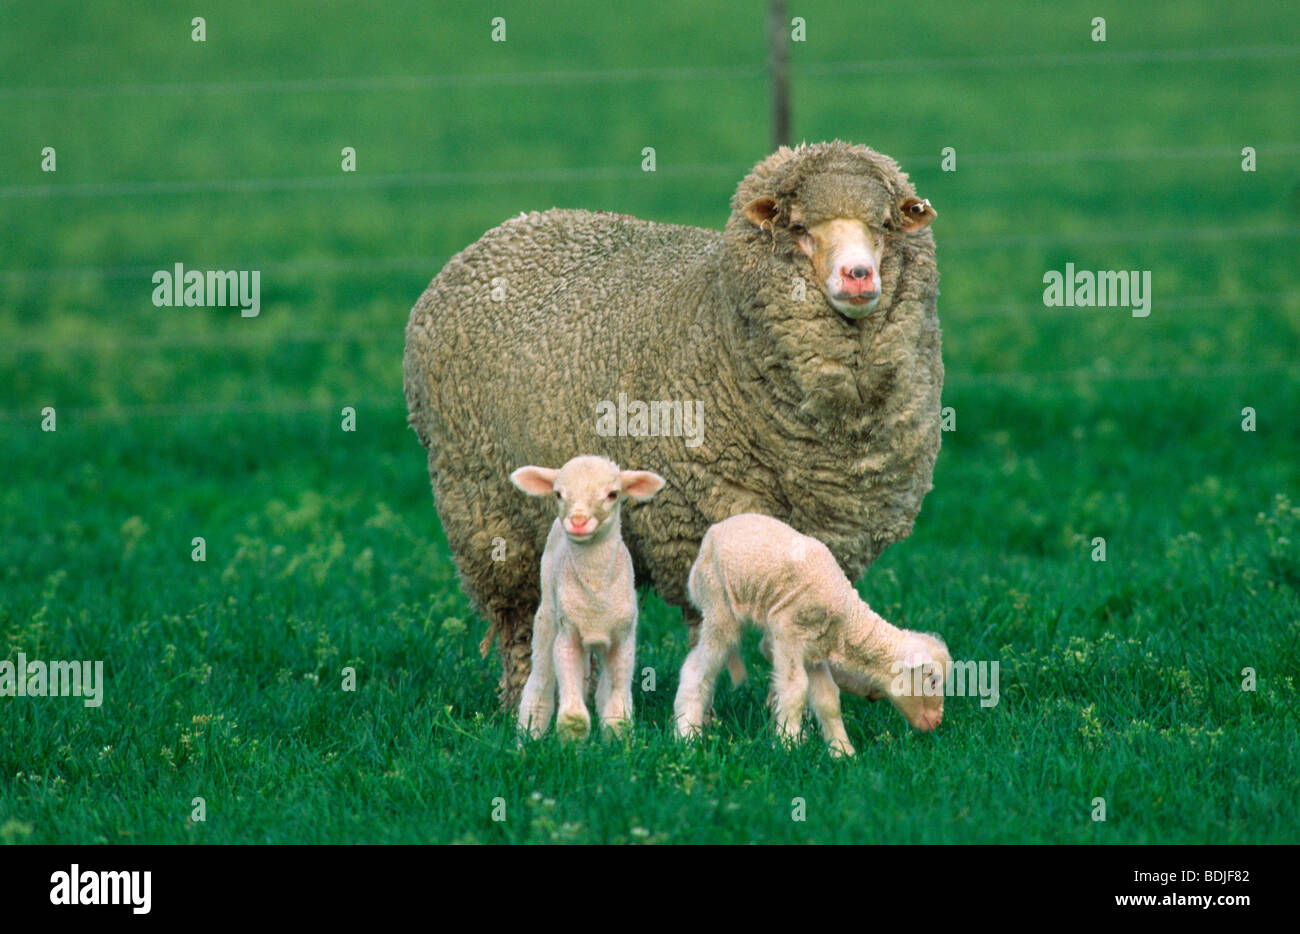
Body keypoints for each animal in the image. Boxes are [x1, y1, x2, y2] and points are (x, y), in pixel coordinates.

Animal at [404, 140, 941, 707]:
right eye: (799, 227)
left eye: (885, 225)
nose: (858, 275)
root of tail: (507, 228)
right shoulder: (698, 523)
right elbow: (706, 630)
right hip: (485, 509)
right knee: (517, 617)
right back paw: (521, 698)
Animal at [510, 455, 665, 740]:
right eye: (558, 494)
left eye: (613, 494)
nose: (578, 521)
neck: (594, 593)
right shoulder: (567, 637)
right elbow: (574, 717)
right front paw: (572, 746)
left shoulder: (623, 641)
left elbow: (617, 713)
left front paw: (619, 744)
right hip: (548, 617)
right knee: (540, 682)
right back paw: (528, 737)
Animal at [674, 514, 951, 756]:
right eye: (933, 680)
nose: (937, 722)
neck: (847, 621)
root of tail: (714, 530)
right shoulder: (787, 633)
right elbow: (795, 690)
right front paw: (789, 745)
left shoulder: (816, 650)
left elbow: (828, 700)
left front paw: (842, 752)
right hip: (719, 605)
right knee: (696, 668)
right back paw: (687, 735)